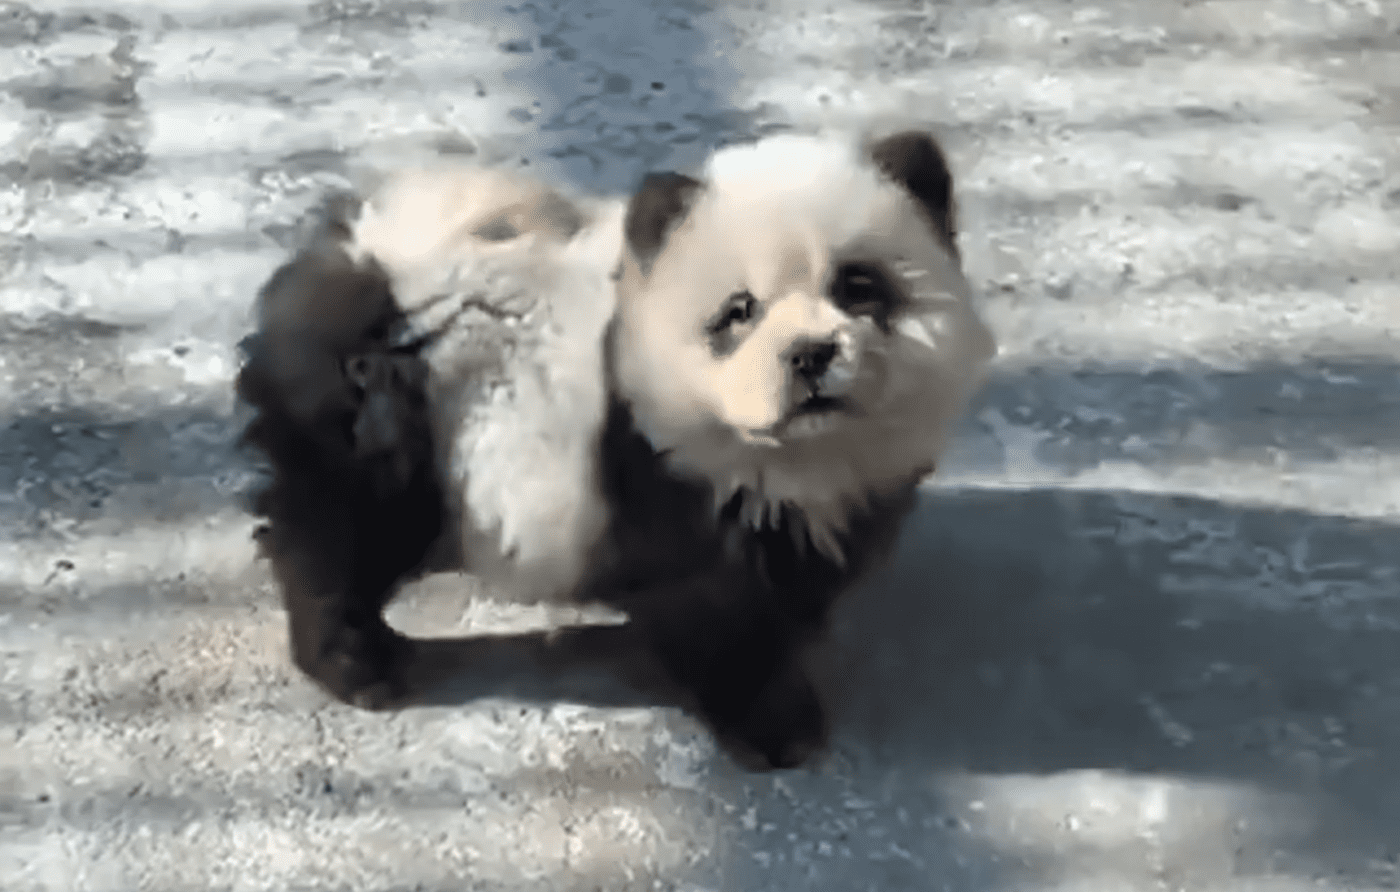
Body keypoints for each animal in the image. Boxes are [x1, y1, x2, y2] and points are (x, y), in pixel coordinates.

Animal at [234, 129, 997, 769]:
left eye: (859, 286)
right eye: (739, 311)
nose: (810, 355)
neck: (800, 453)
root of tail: (362, 258)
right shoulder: (669, 482)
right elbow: (715, 609)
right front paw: (774, 724)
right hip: (382, 426)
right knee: (336, 536)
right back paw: (358, 665)